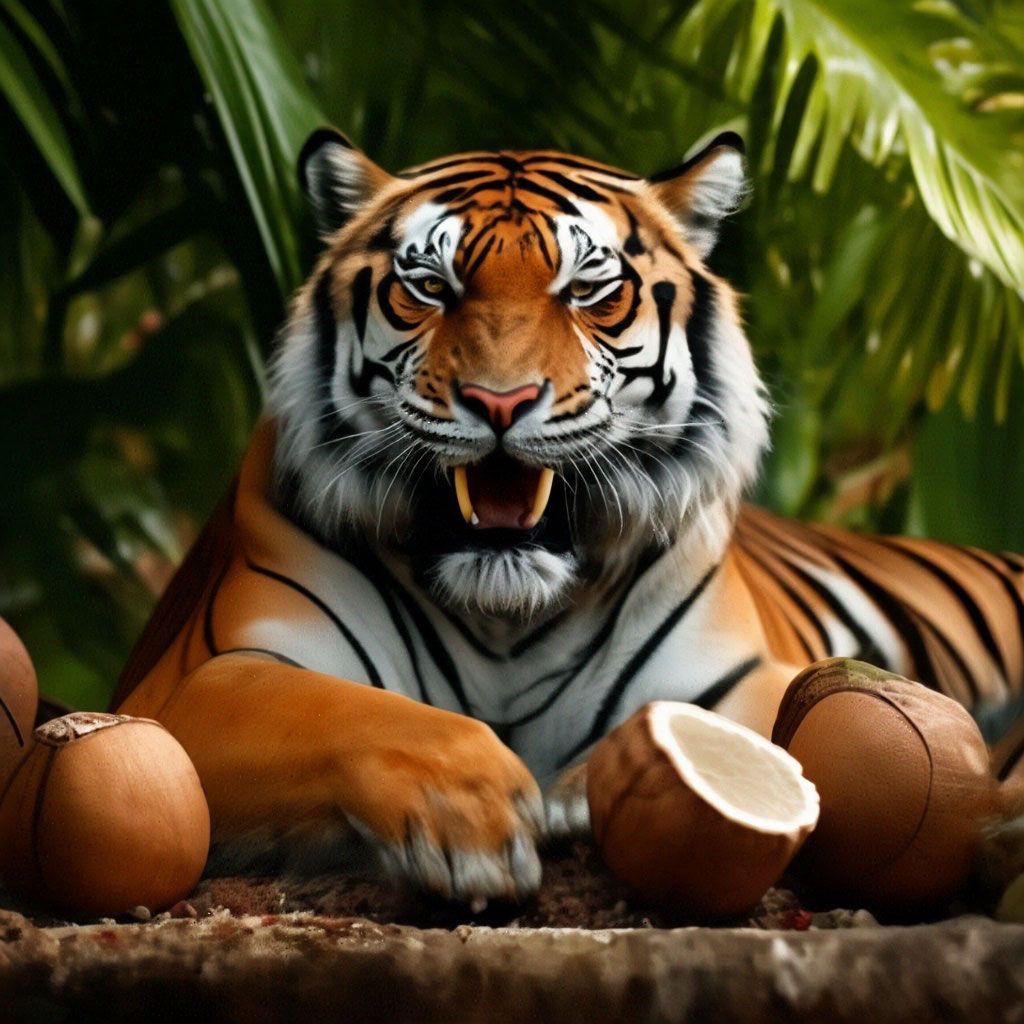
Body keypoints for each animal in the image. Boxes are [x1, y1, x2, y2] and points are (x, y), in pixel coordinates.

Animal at [111, 127, 1024, 905]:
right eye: (431, 288)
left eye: (587, 291)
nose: (499, 401)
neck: (506, 613)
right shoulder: (196, 683)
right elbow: (352, 713)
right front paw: (473, 807)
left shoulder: (751, 678)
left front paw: (594, 787)